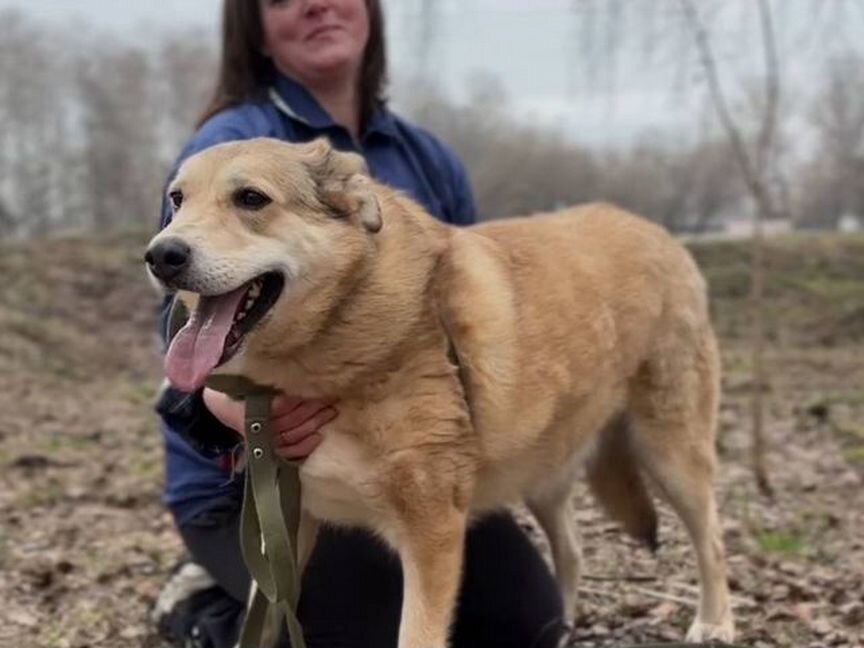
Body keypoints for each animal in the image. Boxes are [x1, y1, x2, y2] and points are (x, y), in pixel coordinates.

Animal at [145, 137, 732, 644]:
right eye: (176, 200)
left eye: (251, 199)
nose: (162, 255)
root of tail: (657, 232)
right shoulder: (285, 531)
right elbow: (263, 621)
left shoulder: (432, 537)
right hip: (543, 470)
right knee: (572, 551)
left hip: (670, 454)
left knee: (711, 539)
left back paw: (716, 621)